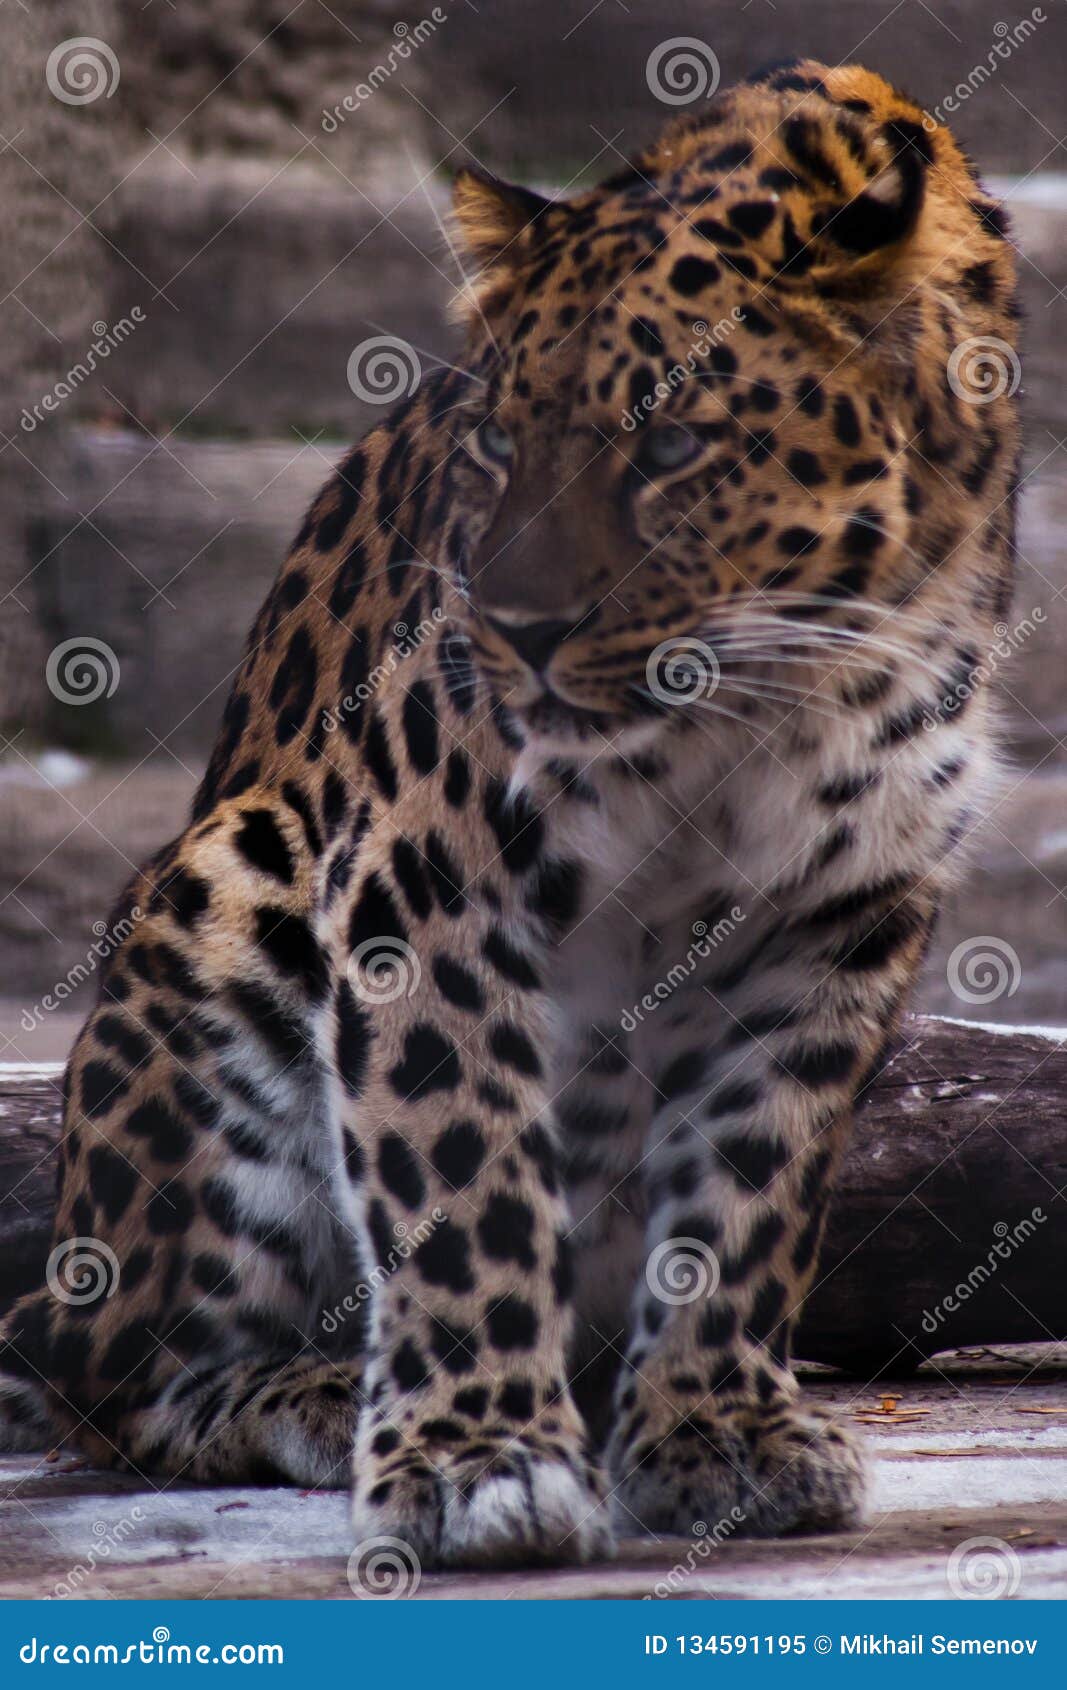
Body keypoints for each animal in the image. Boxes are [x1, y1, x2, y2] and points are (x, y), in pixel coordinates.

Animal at [0, 60, 1019, 1570]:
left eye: (670, 441)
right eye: (493, 439)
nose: (520, 635)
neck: (757, 706)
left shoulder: (836, 911)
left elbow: (747, 1185)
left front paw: (718, 1427)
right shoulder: (420, 870)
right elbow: (458, 1161)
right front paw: (477, 1458)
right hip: (229, 887)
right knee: (116, 1376)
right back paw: (323, 1391)